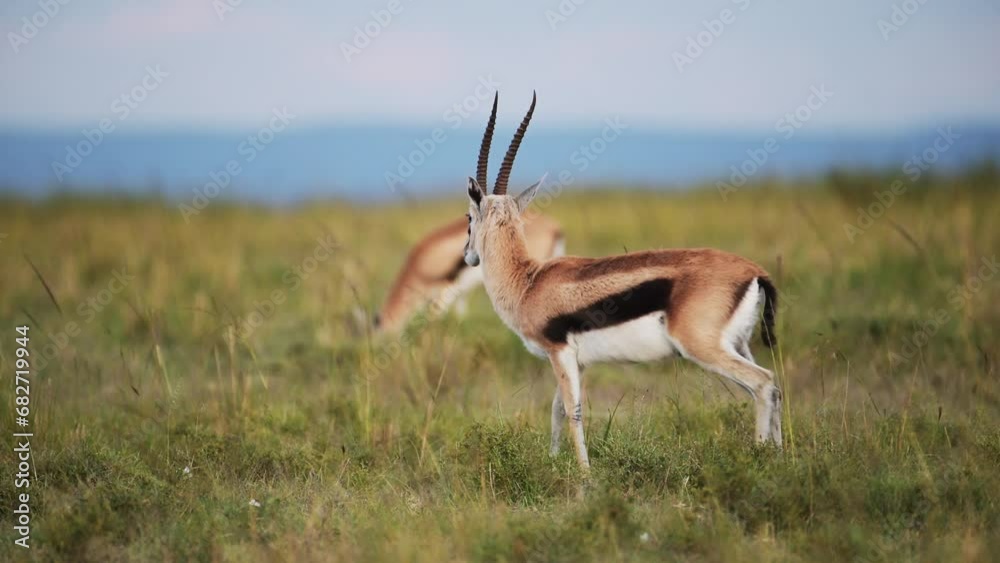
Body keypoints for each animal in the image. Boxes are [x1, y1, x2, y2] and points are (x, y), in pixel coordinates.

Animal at [463, 92, 783, 472]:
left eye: (468, 217)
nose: (468, 255)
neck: (528, 281)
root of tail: (754, 271)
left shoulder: (559, 352)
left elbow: (573, 411)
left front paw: (585, 476)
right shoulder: (577, 360)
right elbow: (556, 410)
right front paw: (555, 463)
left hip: (703, 348)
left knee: (762, 383)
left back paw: (761, 459)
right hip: (739, 344)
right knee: (772, 388)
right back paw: (784, 458)